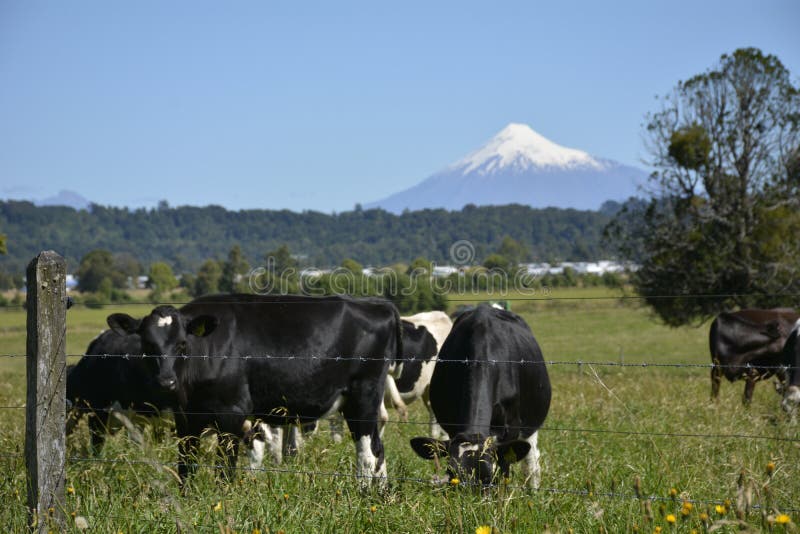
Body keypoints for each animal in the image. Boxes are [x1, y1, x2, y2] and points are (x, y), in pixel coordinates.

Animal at [107, 293, 402, 488]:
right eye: (147, 344)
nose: (166, 382)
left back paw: (364, 494)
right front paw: (186, 497)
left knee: (368, 452)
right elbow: (186, 464)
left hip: (364, 396)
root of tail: (377, 304)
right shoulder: (186, 417)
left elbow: (225, 466)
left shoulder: (232, 413)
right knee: (377, 449)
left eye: (182, 344)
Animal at [410, 304, 551, 489]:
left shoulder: (511, 429)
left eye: (488, 477)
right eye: (452, 473)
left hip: (530, 424)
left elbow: (505, 469)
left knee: (531, 460)